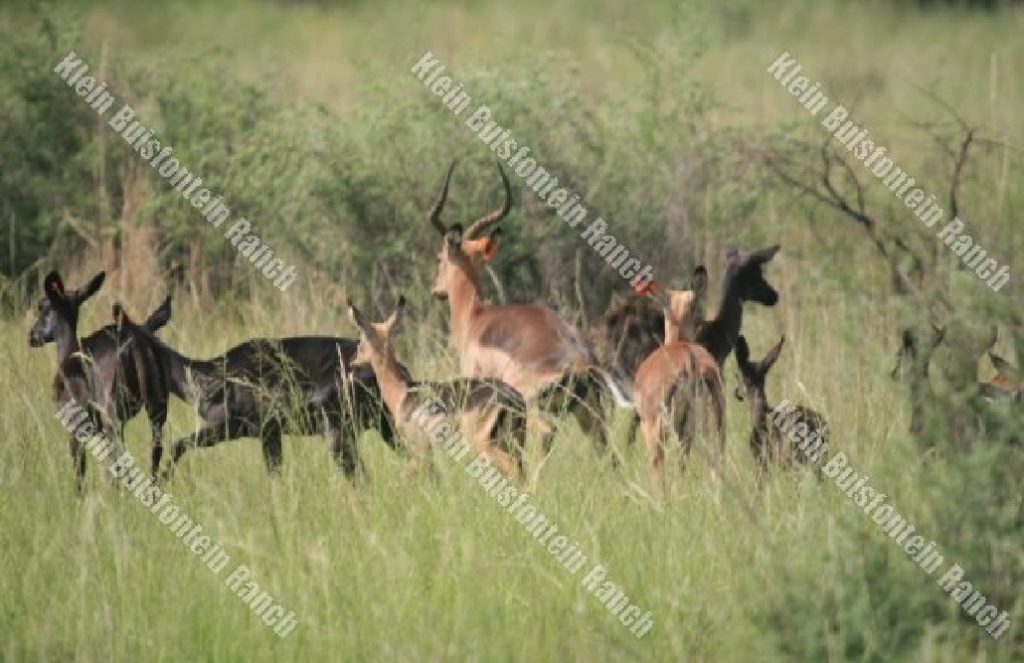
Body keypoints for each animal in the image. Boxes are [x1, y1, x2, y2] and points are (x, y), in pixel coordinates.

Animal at [30, 271, 171, 484]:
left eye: (42, 307)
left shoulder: (74, 421)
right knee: (155, 451)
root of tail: (135, 345)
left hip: (111, 414)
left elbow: (79, 468)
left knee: (119, 458)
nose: (32, 336)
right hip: (156, 407)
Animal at [110, 303, 398, 478]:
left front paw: (160, 482)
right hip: (384, 425)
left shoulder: (227, 428)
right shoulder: (268, 434)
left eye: (122, 346)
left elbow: (178, 445)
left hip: (340, 432)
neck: (204, 379)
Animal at [348, 296, 527, 480]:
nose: (352, 362)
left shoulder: (420, 451)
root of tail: (514, 396)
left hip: (483, 441)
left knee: (512, 468)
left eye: (361, 343)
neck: (402, 392)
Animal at [426, 161, 627, 457]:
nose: (436, 290)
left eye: (440, 257)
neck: (475, 317)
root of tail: (579, 360)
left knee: (545, 432)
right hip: (590, 413)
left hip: (535, 406)